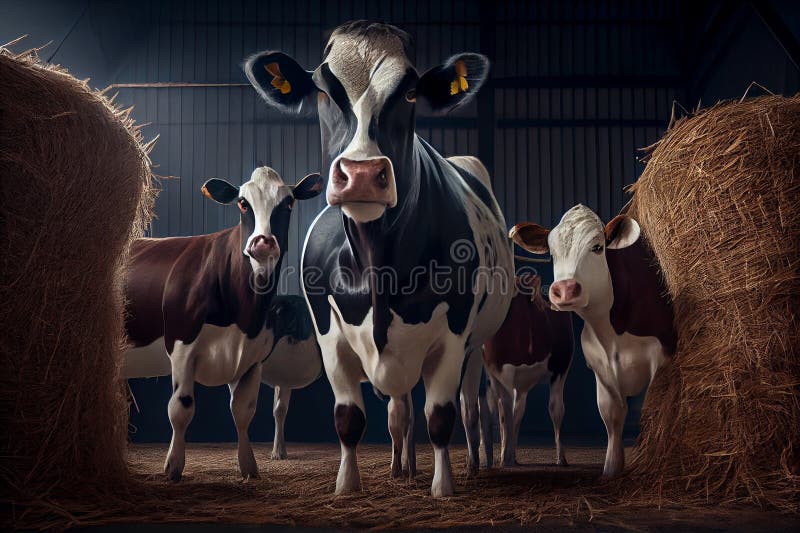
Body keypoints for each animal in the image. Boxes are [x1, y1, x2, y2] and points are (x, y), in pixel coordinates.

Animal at [260, 294, 323, 460]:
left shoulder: (286, 377)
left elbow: (279, 410)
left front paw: (278, 453)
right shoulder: (281, 379)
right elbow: (277, 410)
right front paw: (278, 452)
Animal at [481, 273, 574, 468]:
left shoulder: (560, 369)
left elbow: (555, 409)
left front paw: (561, 457)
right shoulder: (496, 372)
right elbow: (503, 412)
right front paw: (504, 455)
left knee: (527, 410)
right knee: (511, 410)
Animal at [509, 204, 677, 477]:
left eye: (598, 247)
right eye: (552, 252)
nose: (564, 290)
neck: (613, 335)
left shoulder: (662, 359)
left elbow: (652, 409)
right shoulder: (600, 366)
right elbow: (612, 414)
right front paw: (611, 467)